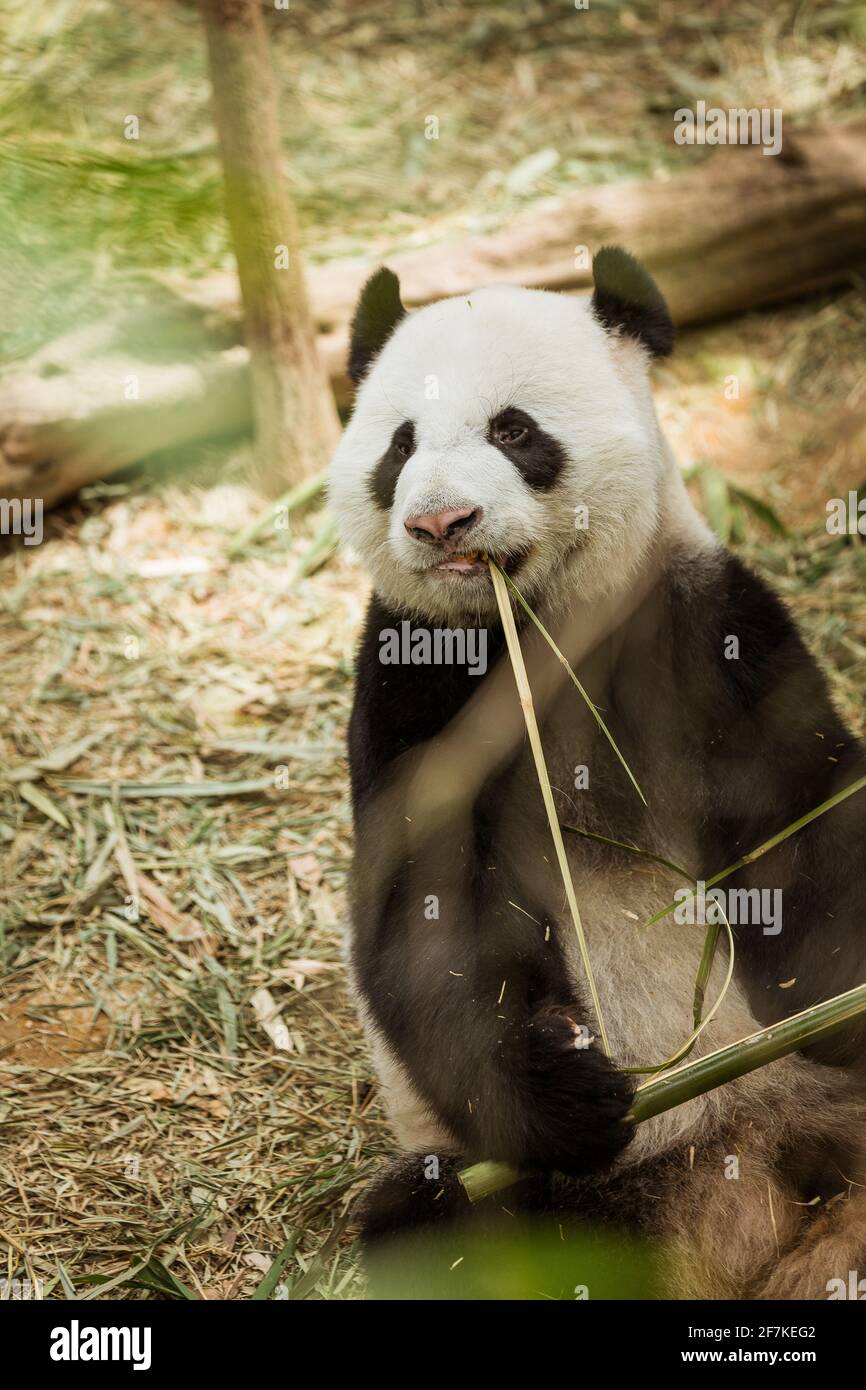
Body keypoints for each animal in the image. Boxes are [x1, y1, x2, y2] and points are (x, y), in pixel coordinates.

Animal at [328, 248, 866, 1299]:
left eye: (513, 428)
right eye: (399, 444)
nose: (440, 522)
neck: (544, 629)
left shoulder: (710, 630)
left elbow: (809, 819)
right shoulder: (416, 685)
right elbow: (426, 911)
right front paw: (561, 1084)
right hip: (559, 1198)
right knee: (456, 1226)